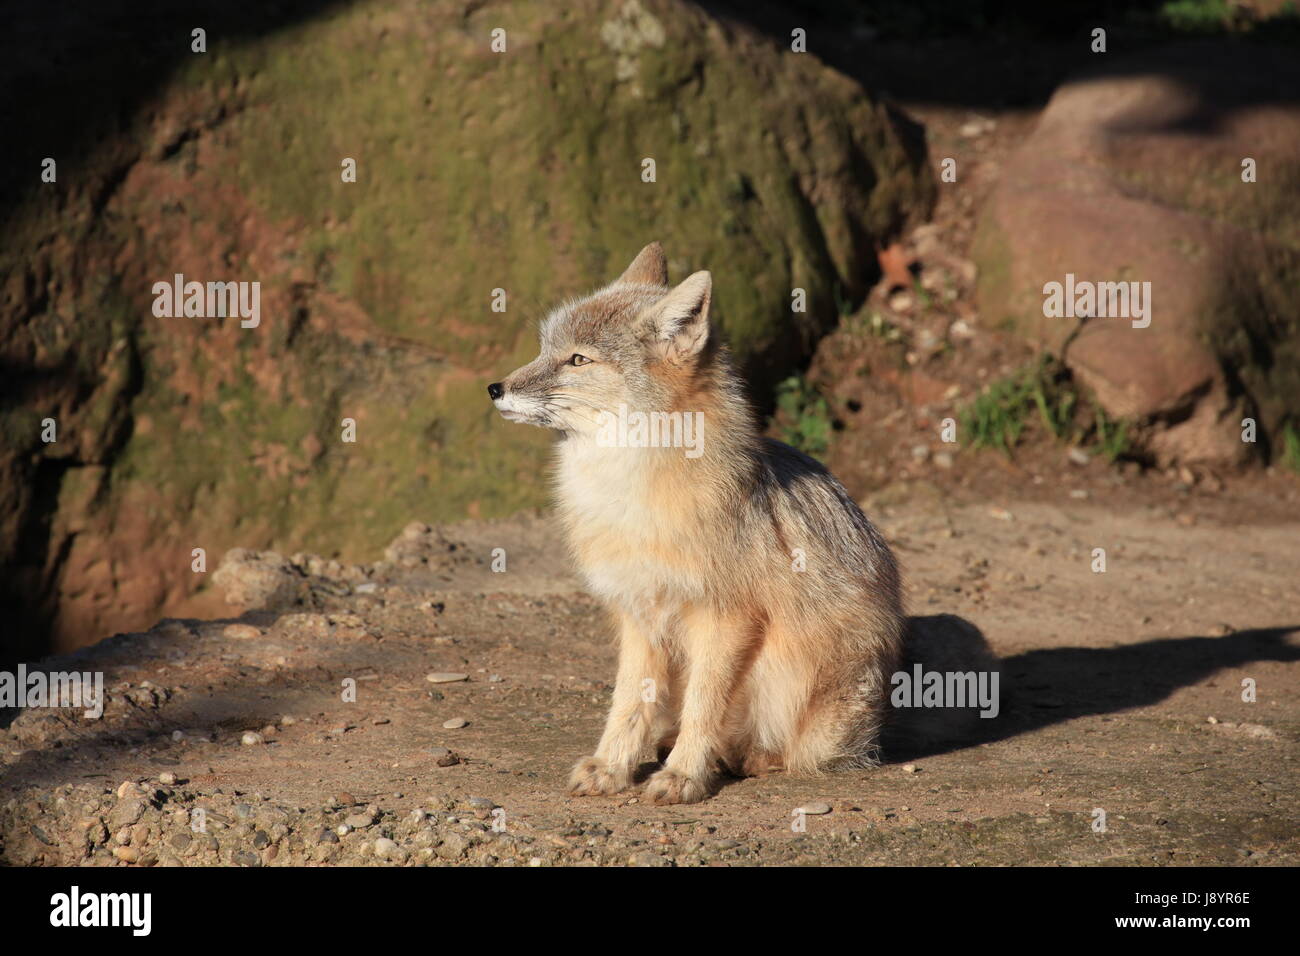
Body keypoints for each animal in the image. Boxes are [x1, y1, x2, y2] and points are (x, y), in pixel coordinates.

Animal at [488, 242, 906, 804]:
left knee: (792, 754)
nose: (494, 388)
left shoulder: (726, 616)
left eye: (577, 359)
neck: (629, 496)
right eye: (543, 349)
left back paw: (742, 757)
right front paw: (613, 766)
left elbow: (704, 706)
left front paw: (685, 775)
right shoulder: (638, 615)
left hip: (814, 705)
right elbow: (628, 703)